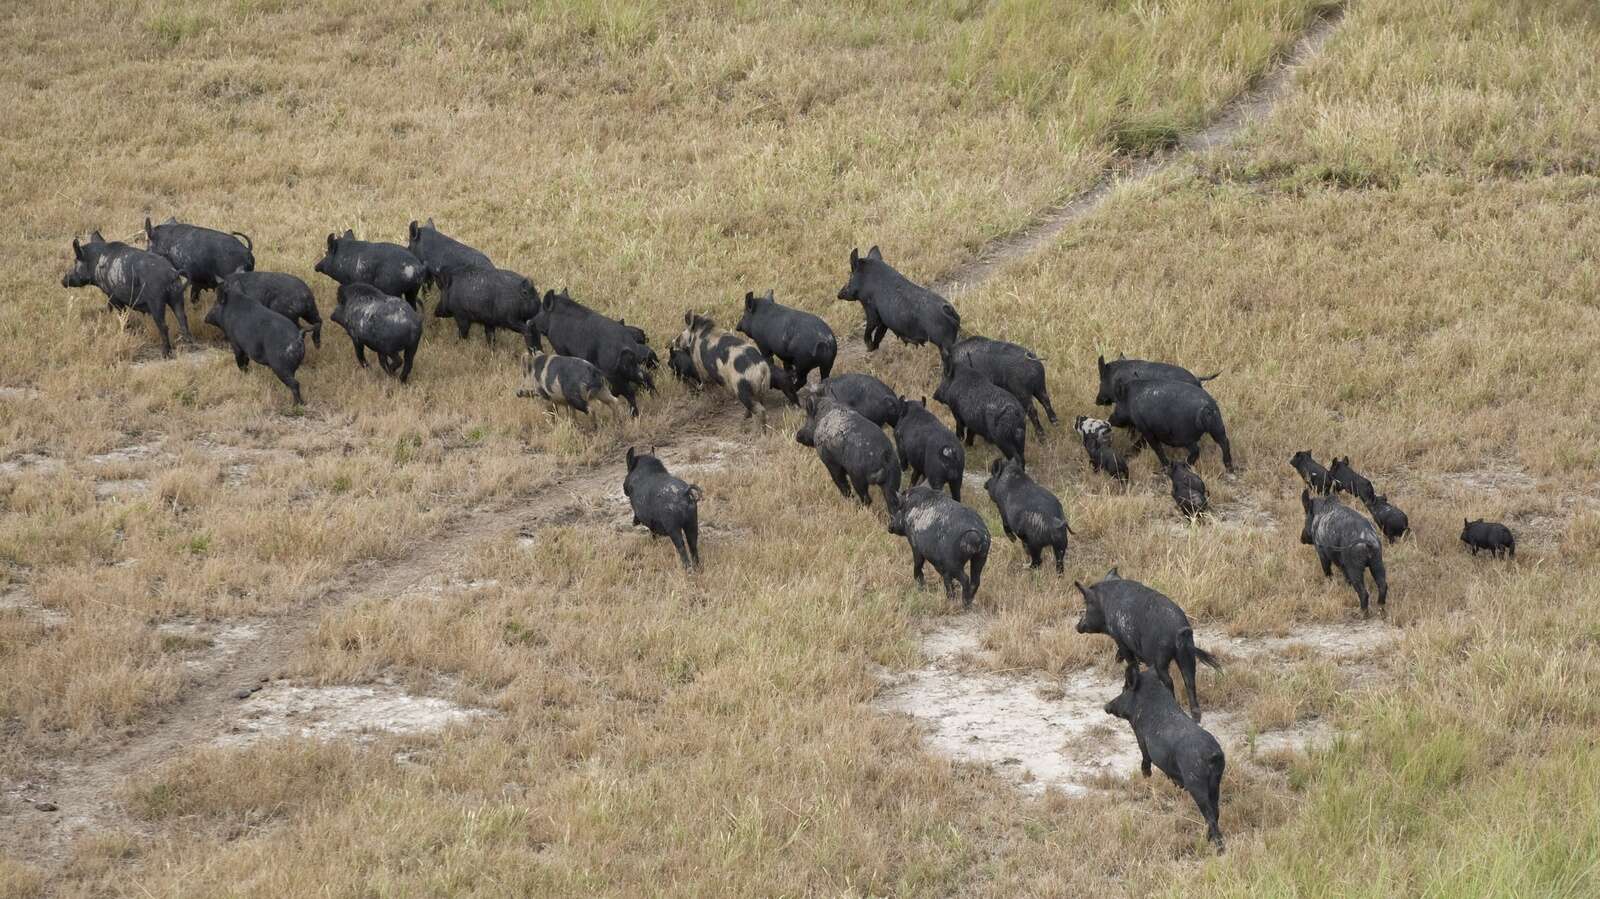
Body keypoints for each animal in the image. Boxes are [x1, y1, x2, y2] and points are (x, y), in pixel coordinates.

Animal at [60, 233, 194, 357]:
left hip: (157, 302)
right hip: (177, 297)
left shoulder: (113, 296)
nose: (63, 280)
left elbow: (122, 316)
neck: (96, 263)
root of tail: (172, 273)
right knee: (183, 318)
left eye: (75, 261)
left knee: (164, 326)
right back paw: (190, 345)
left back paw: (165, 354)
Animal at [1074, 568, 1222, 722]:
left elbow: (1130, 662)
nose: (1077, 626)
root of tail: (1179, 629)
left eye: (1087, 605)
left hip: (1160, 657)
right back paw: (1196, 718)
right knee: (1189, 681)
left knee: (1169, 681)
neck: (1106, 605)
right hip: (1186, 654)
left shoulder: (1121, 640)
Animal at [1103, 668, 1227, 850]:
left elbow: (1145, 760)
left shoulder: (1141, 737)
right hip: (1216, 782)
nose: (1106, 706)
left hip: (1196, 782)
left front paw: (1146, 777)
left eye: (1124, 689)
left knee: (1210, 815)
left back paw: (1217, 847)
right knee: (1216, 812)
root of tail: (1214, 754)